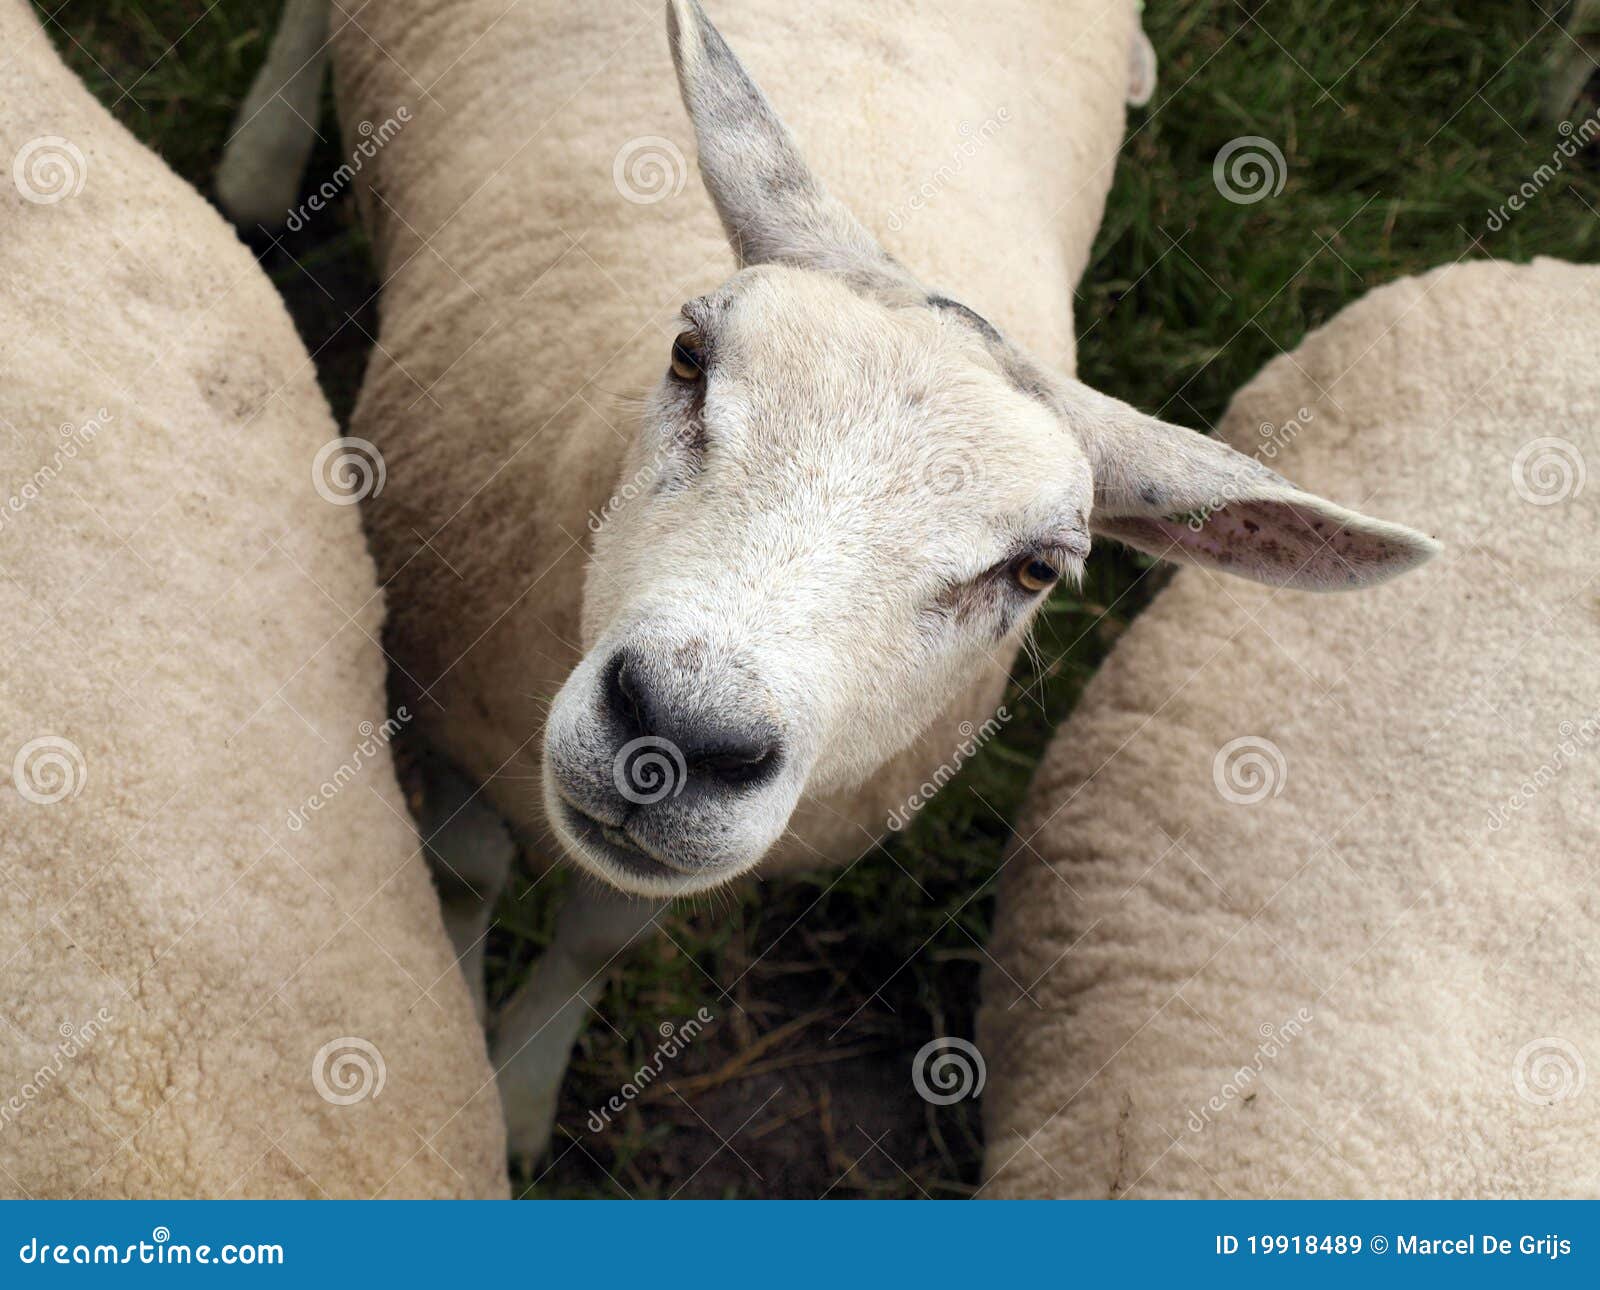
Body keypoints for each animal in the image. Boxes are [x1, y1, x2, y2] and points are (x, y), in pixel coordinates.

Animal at [220, 0, 1435, 1159]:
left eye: (1035, 568)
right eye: (689, 358)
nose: (677, 736)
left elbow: (601, 936)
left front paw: (517, 1096)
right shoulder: (439, 706)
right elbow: (468, 882)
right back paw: (259, 162)